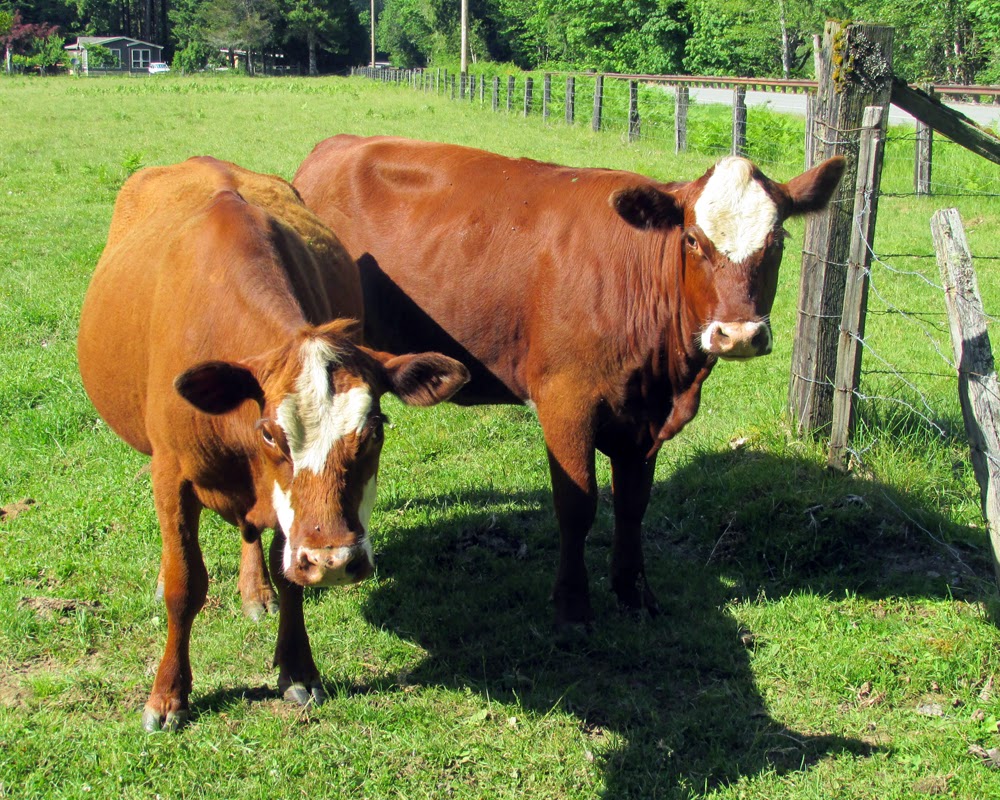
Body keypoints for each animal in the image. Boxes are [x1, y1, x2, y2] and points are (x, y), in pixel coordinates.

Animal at [77, 156, 470, 731]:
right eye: (268, 432)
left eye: (375, 427)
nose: (334, 560)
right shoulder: (171, 474)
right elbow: (183, 583)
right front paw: (168, 696)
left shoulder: (291, 520)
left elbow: (290, 577)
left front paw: (298, 668)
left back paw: (255, 588)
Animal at [292, 135, 845, 631]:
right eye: (692, 239)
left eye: (778, 242)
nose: (739, 334)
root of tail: (333, 146)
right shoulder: (565, 401)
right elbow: (578, 506)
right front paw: (573, 608)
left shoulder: (643, 418)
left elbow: (633, 504)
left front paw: (634, 592)